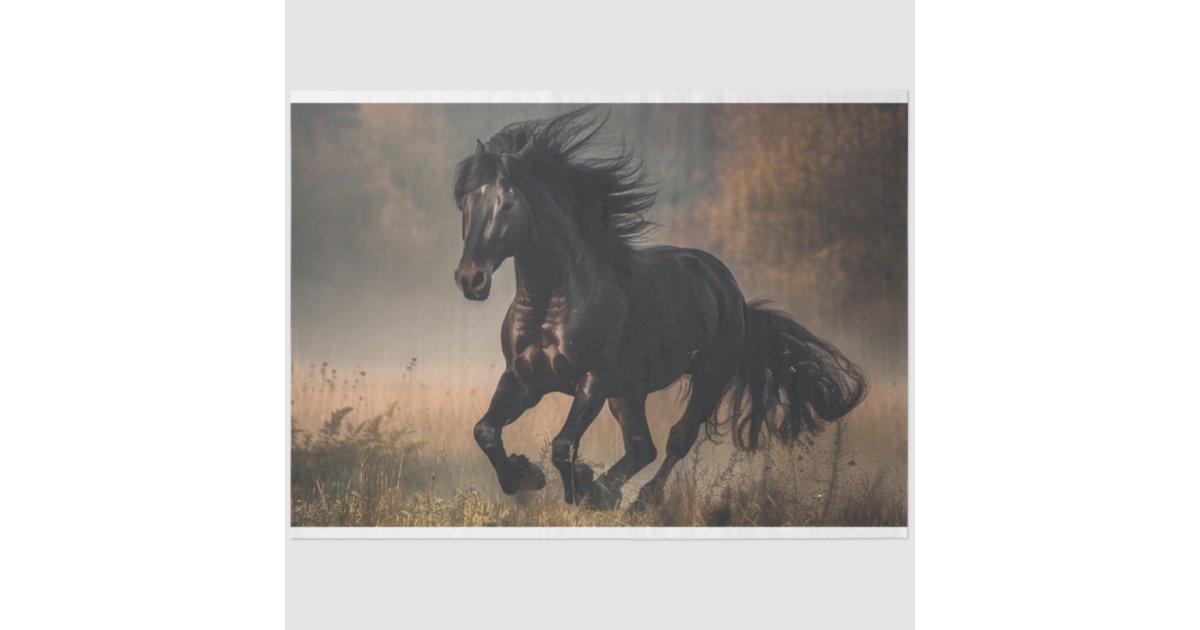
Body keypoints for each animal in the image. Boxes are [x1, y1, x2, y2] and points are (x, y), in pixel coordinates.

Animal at [452, 107, 867, 510]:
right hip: (628, 392)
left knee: (676, 440)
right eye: (465, 203)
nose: (470, 279)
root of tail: (732, 293)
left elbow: (562, 446)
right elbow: (485, 431)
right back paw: (606, 490)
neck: (549, 301)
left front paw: (577, 489)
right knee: (642, 448)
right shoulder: (524, 379)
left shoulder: (592, 380)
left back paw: (636, 499)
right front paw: (525, 475)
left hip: (707, 378)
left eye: (507, 205)